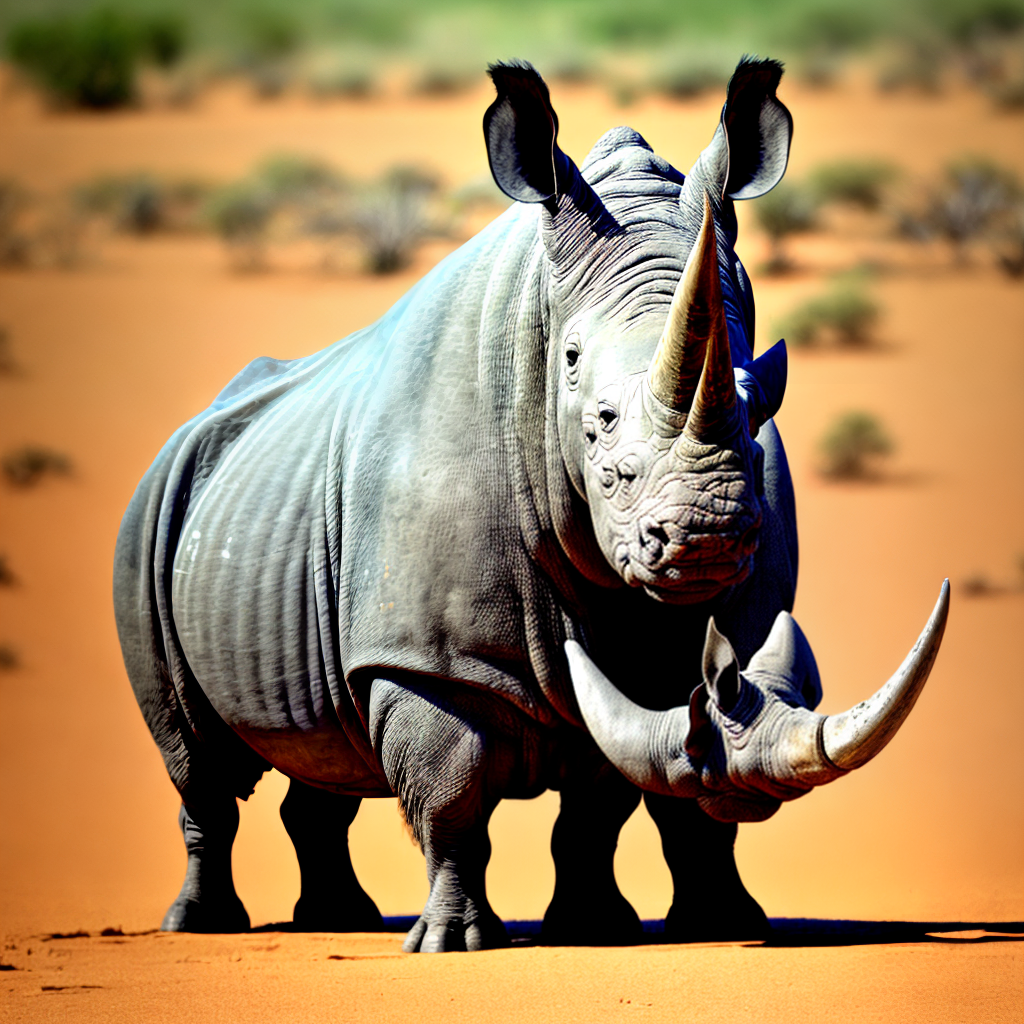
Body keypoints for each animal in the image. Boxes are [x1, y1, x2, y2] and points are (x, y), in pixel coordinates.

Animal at [113, 58, 948, 952]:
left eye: (758, 417)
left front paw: (636, 927)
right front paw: (456, 943)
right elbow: (452, 792)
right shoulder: (422, 657)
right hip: (151, 514)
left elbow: (615, 808)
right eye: (596, 414)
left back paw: (338, 918)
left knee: (325, 754)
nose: (705, 537)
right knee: (198, 760)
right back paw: (202, 926)